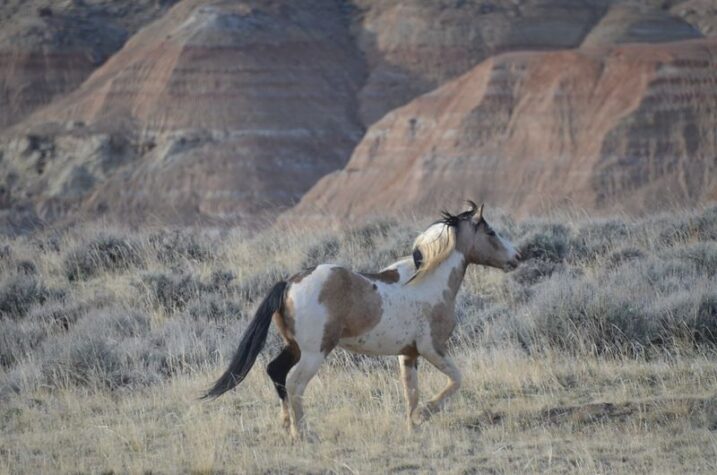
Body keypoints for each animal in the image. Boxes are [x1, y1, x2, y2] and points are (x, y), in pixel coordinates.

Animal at [203, 201, 521, 439]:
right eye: (491, 231)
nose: (517, 257)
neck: (429, 280)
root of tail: (289, 283)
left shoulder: (409, 354)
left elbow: (411, 392)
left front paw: (412, 426)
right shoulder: (432, 348)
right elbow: (456, 379)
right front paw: (425, 414)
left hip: (293, 346)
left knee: (276, 371)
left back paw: (286, 427)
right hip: (314, 352)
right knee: (294, 383)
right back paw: (302, 433)